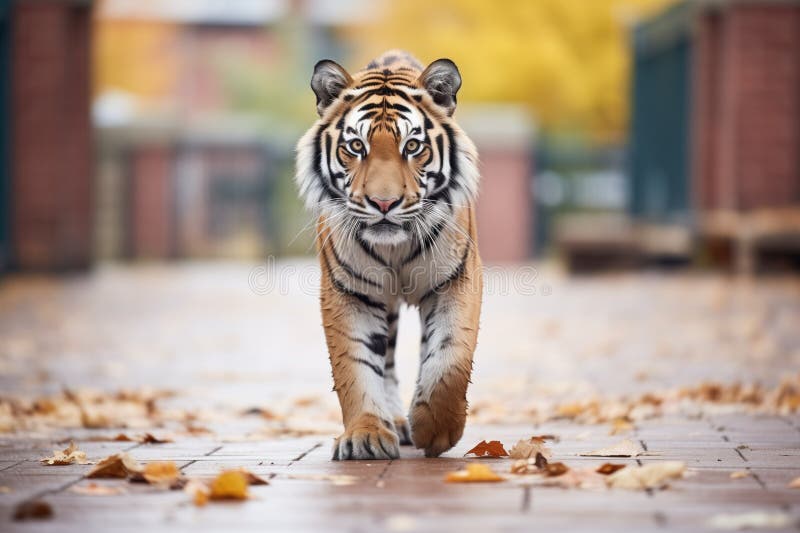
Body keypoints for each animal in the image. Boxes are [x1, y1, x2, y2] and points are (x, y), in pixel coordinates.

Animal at [295, 50, 482, 460]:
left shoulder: (455, 280)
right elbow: (357, 367)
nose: (383, 203)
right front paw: (366, 435)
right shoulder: (350, 292)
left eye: (412, 147)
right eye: (355, 147)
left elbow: (449, 358)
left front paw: (435, 428)